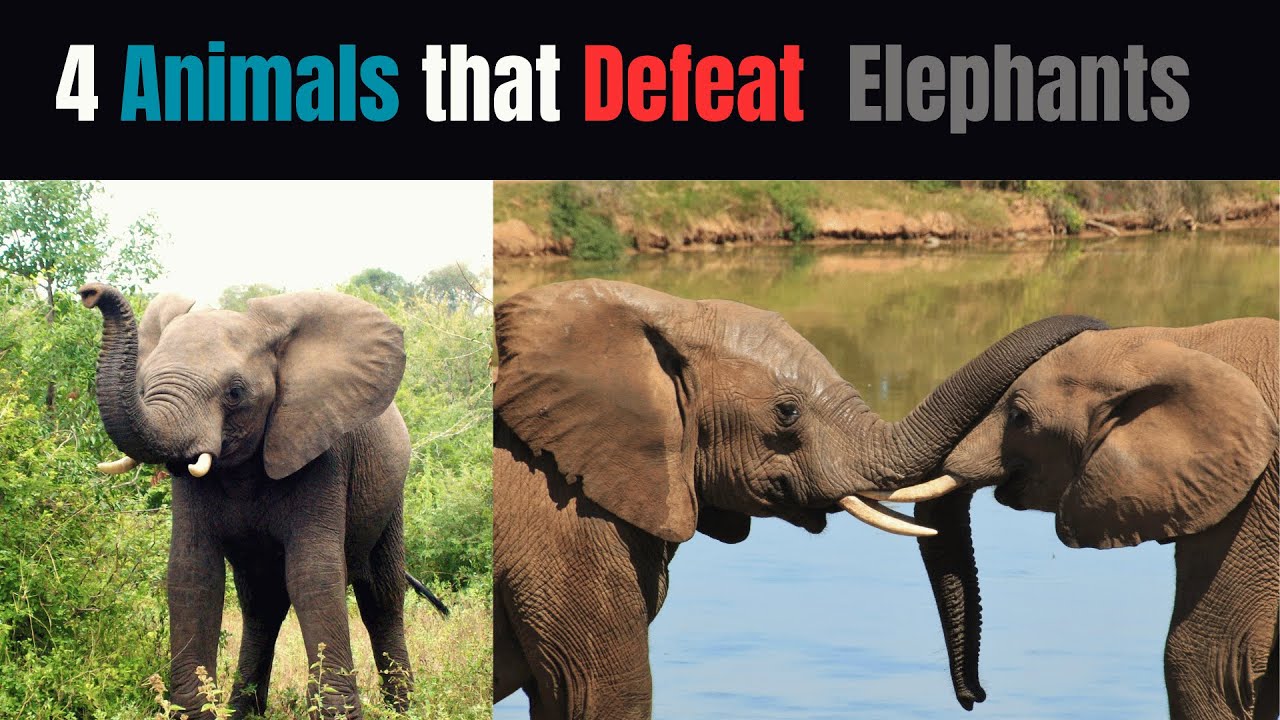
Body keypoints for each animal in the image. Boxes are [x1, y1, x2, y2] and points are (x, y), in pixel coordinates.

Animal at [78, 282, 434, 720]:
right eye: (143, 387)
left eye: (235, 393)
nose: (90, 293)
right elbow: (193, 573)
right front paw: (194, 713)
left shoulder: (321, 449)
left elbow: (313, 573)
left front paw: (335, 713)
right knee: (262, 603)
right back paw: (242, 709)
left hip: (391, 497)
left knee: (381, 598)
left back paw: (403, 709)